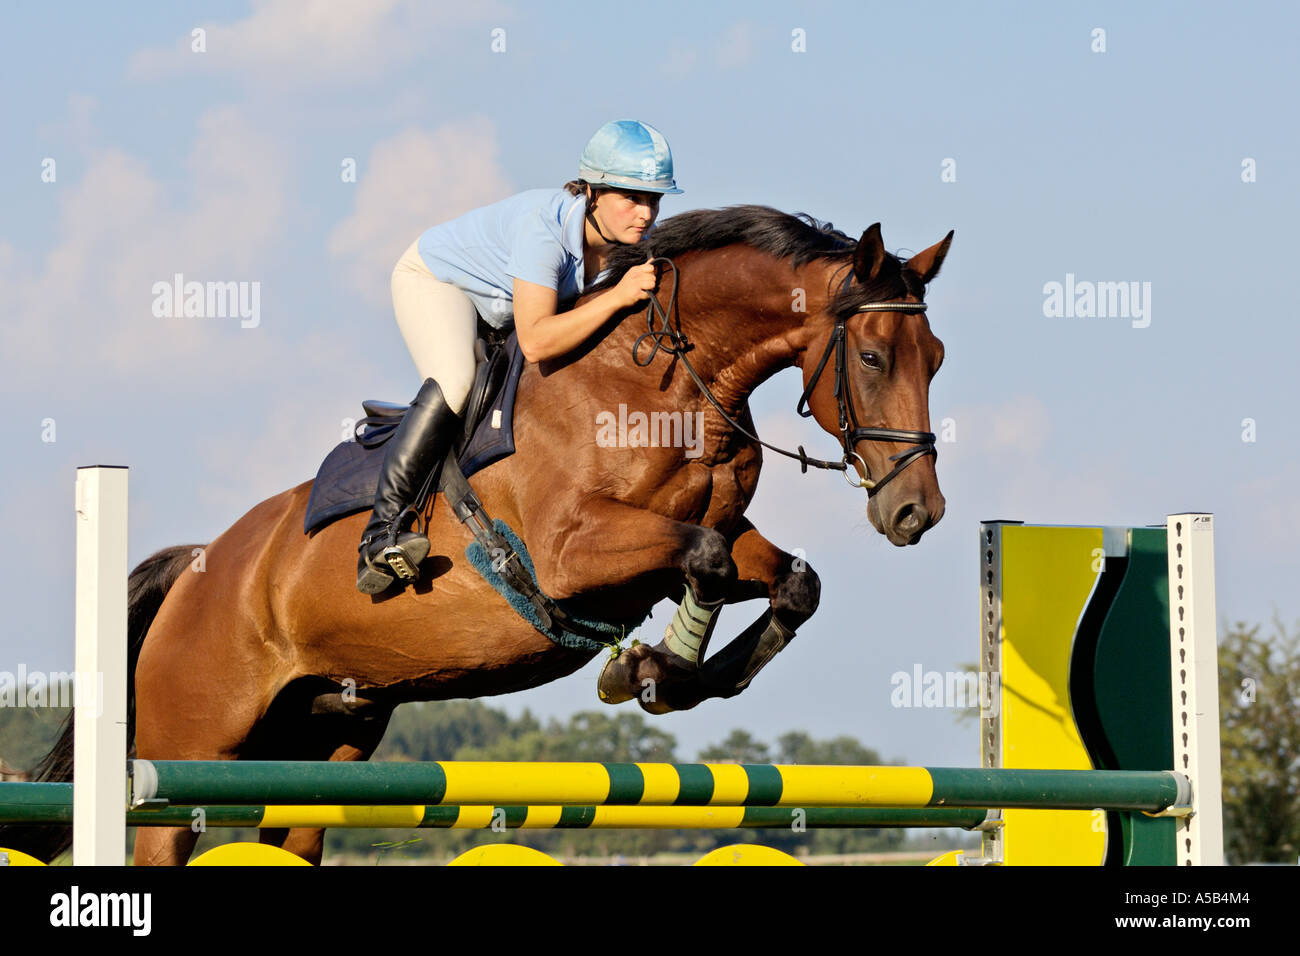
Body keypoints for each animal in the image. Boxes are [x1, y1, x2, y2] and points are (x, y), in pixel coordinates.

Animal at [12, 205, 951, 865]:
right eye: (873, 358)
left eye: (935, 357)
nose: (919, 513)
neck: (662, 382)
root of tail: (199, 567)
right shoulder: (572, 556)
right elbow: (708, 562)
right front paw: (648, 673)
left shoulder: (712, 528)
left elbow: (787, 579)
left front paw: (678, 676)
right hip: (190, 752)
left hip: (320, 750)